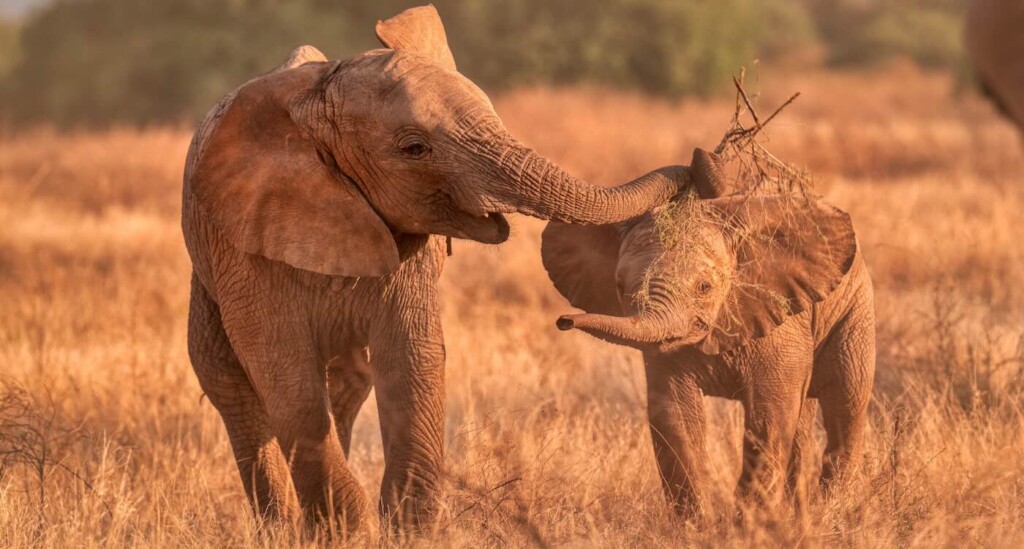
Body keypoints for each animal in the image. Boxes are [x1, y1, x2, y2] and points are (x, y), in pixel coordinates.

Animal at [181, 5, 690, 535]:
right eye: (414, 149)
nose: (698, 163)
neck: (318, 100)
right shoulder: (248, 252)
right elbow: (286, 376)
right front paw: (347, 531)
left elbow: (411, 358)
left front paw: (404, 529)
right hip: (209, 270)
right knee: (229, 384)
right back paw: (276, 527)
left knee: (349, 381)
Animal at [542, 150, 875, 516]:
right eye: (620, 287)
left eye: (704, 287)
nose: (563, 322)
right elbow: (676, 418)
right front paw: (699, 525)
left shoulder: (781, 321)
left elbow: (769, 418)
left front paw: (748, 524)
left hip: (854, 307)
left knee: (845, 404)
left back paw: (828, 514)